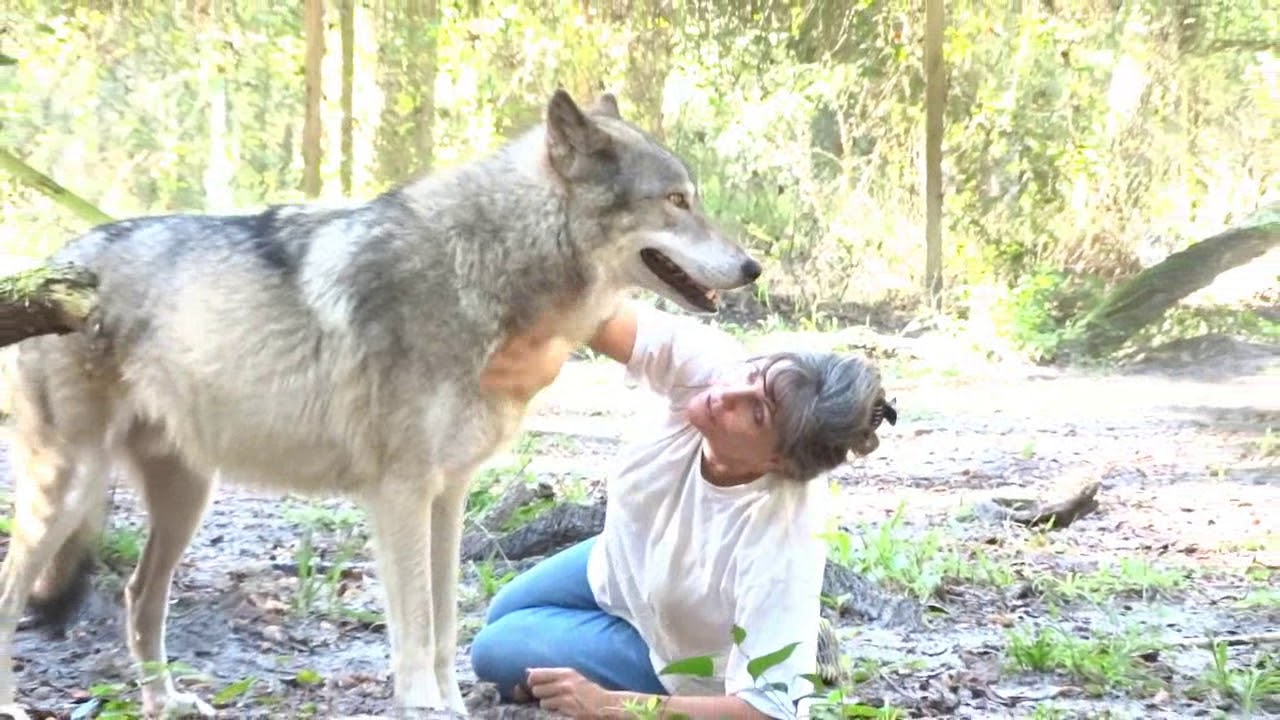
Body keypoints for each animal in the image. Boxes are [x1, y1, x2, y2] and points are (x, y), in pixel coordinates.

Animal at [0, 90, 761, 719]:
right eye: (677, 201)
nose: (753, 267)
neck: (483, 270)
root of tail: (54, 263)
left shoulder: (448, 495)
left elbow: (445, 622)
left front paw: (450, 706)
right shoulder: (401, 492)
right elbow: (417, 624)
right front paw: (422, 704)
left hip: (187, 498)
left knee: (137, 598)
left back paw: (166, 703)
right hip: (67, 491)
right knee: (14, 597)